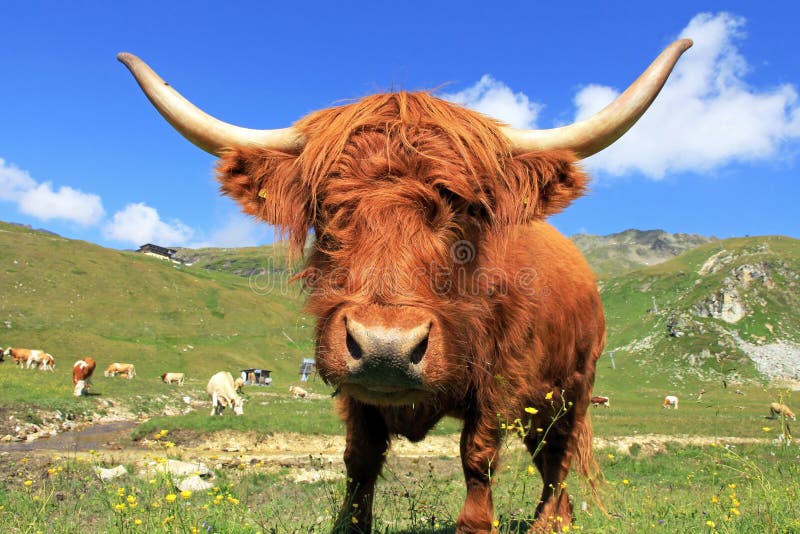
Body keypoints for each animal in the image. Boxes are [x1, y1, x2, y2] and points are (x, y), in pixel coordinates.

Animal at [119, 38, 691, 532]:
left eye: (470, 210)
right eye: (324, 208)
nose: (385, 349)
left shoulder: (500, 382)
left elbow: (477, 459)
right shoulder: (357, 395)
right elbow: (359, 463)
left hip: (572, 391)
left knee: (558, 459)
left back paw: (550, 524)